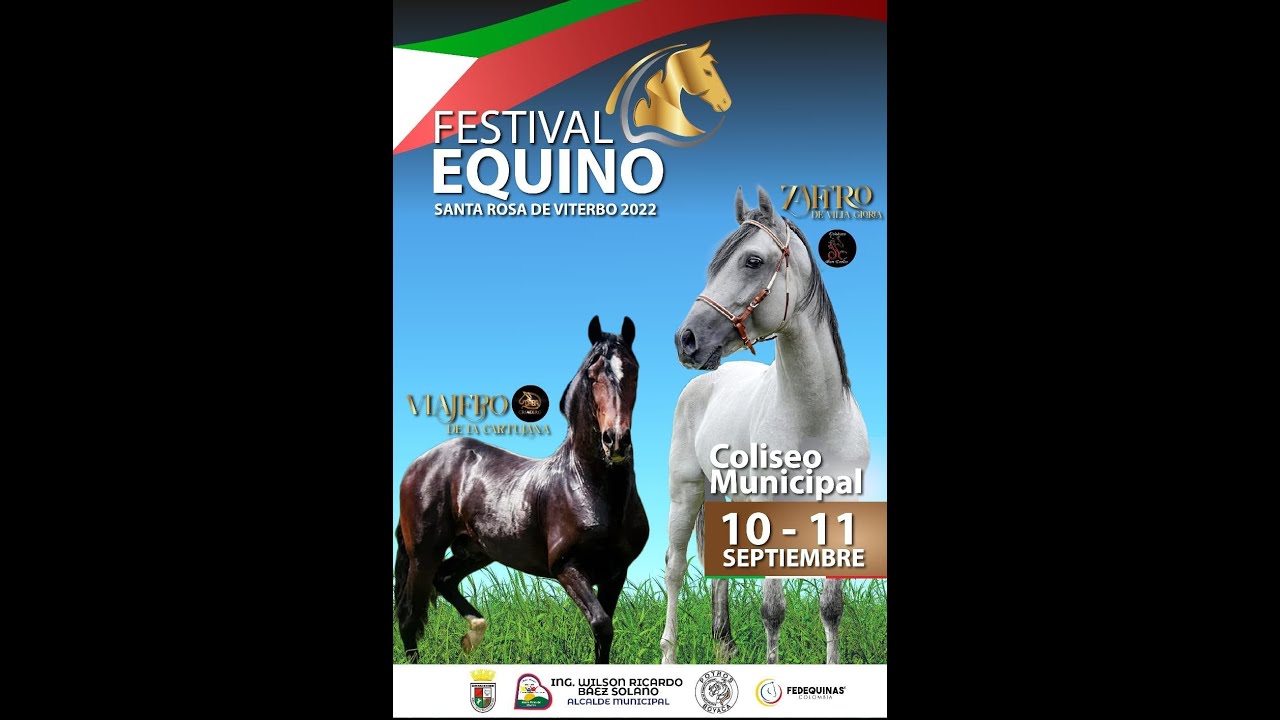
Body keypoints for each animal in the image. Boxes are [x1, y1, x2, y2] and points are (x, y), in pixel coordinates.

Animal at [395, 316, 648, 664]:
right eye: (591, 374)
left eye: (633, 370)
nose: (616, 441)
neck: (588, 486)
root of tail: (419, 464)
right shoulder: (567, 567)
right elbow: (601, 624)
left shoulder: (615, 573)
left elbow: (604, 635)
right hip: (423, 553)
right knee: (410, 616)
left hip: (476, 550)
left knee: (444, 579)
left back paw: (473, 634)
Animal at [660, 187, 870, 665]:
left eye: (752, 261)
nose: (686, 340)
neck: (816, 416)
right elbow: (773, 609)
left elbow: (831, 607)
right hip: (686, 491)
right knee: (675, 567)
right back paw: (669, 655)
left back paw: (724, 646)